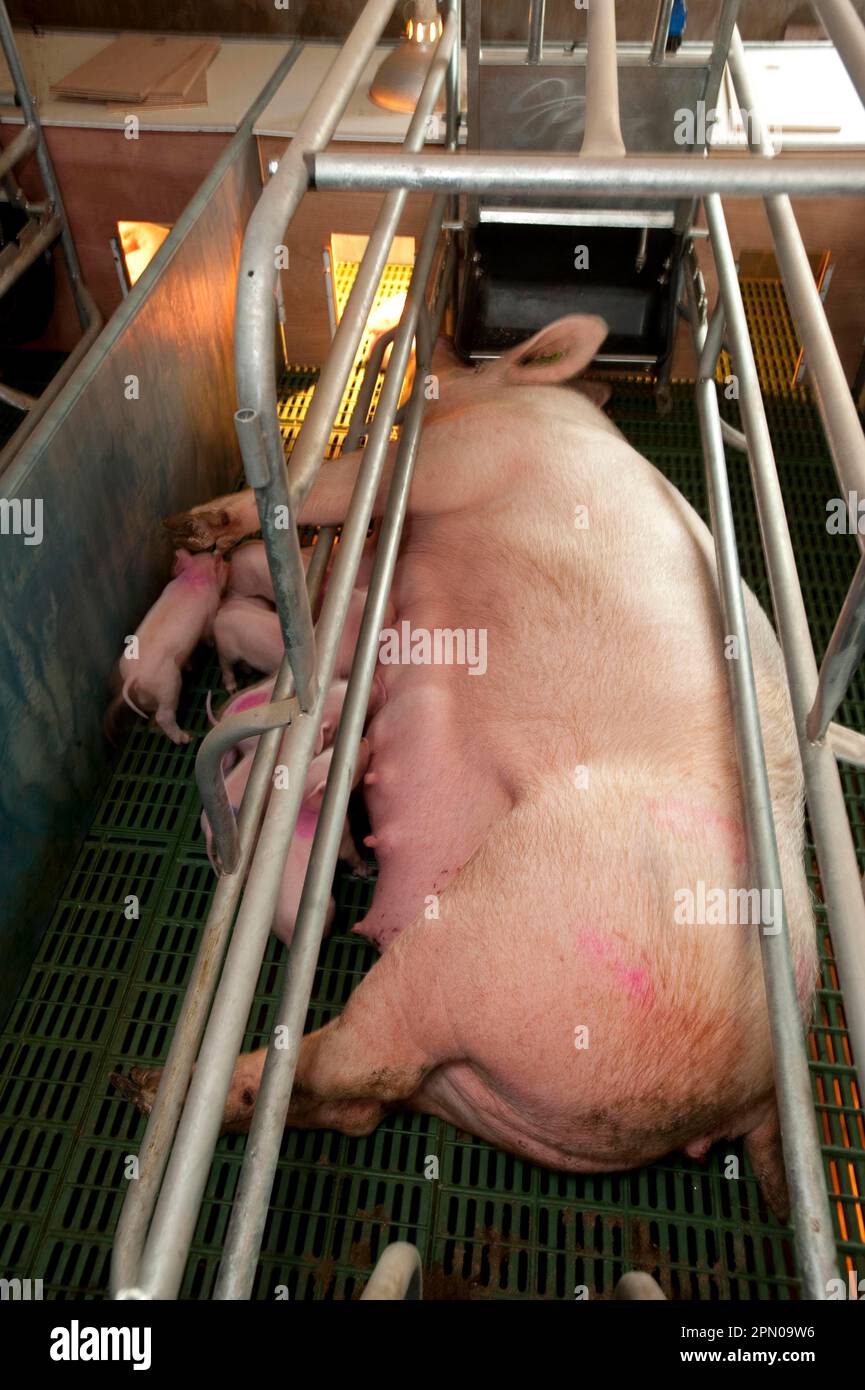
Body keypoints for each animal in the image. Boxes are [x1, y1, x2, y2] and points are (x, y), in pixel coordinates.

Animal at [105, 549, 227, 745]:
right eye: (222, 562)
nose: (229, 565)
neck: (194, 575)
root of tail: (134, 674)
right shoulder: (210, 611)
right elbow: (208, 633)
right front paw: (210, 645)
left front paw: (190, 666)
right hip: (168, 684)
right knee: (164, 715)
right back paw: (186, 738)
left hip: (144, 691)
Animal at [118, 316, 814, 1219]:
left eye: (462, 359)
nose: (425, 330)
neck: (523, 405)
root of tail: (755, 1086)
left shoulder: (444, 462)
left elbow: (328, 486)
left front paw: (190, 524)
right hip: (488, 1088)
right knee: (361, 1102)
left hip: (491, 945)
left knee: (357, 1063)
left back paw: (149, 1087)